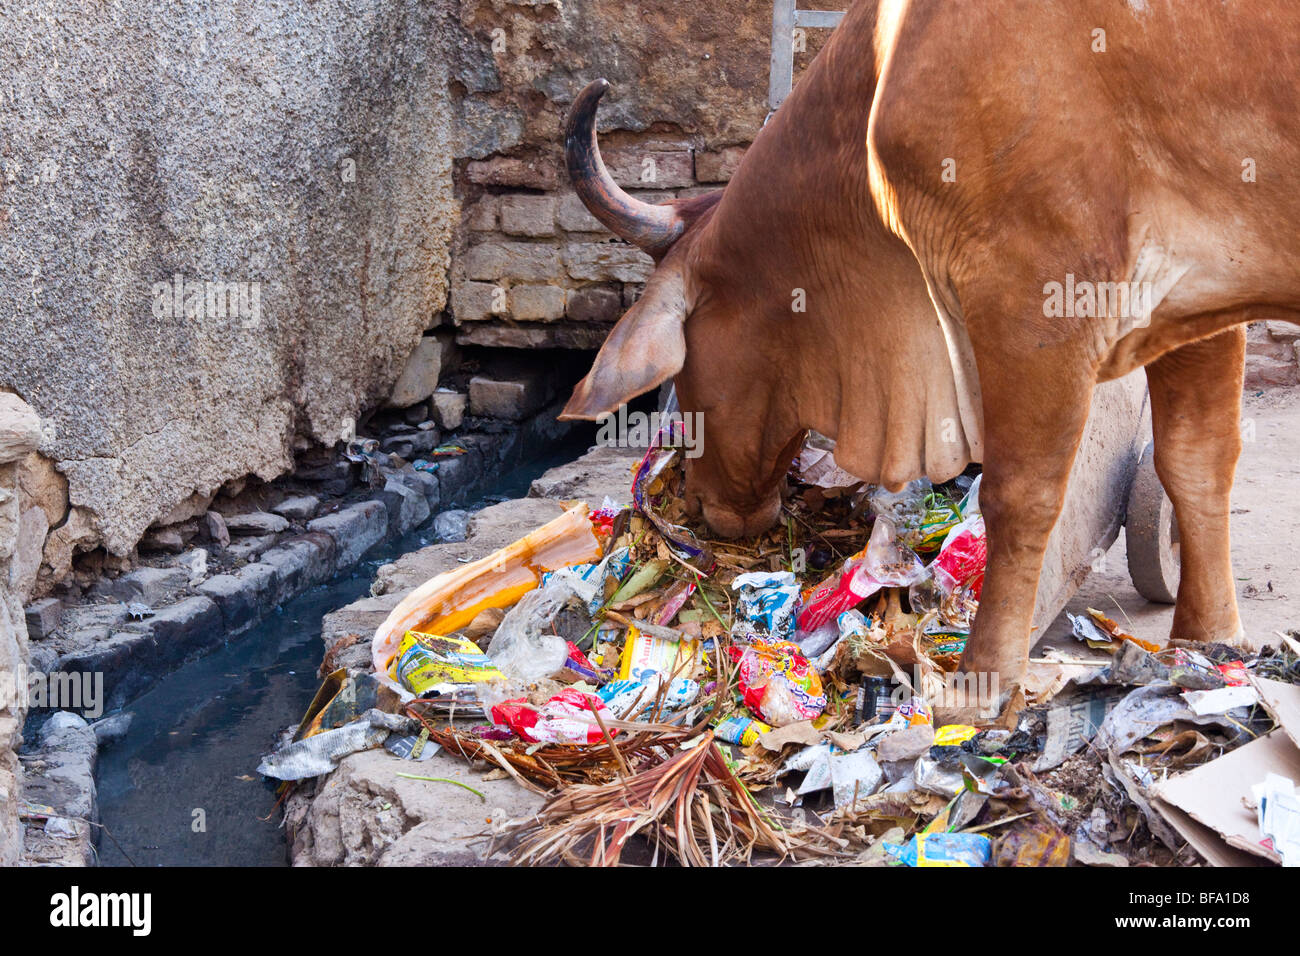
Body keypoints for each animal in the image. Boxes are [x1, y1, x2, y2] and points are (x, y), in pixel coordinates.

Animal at [558, 0, 1300, 704]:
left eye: (687, 376)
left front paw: (982, 680)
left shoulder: (1037, 292)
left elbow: (1021, 495)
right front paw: (1206, 643)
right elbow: (1195, 462)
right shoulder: (1195, 299)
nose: (701, 505)